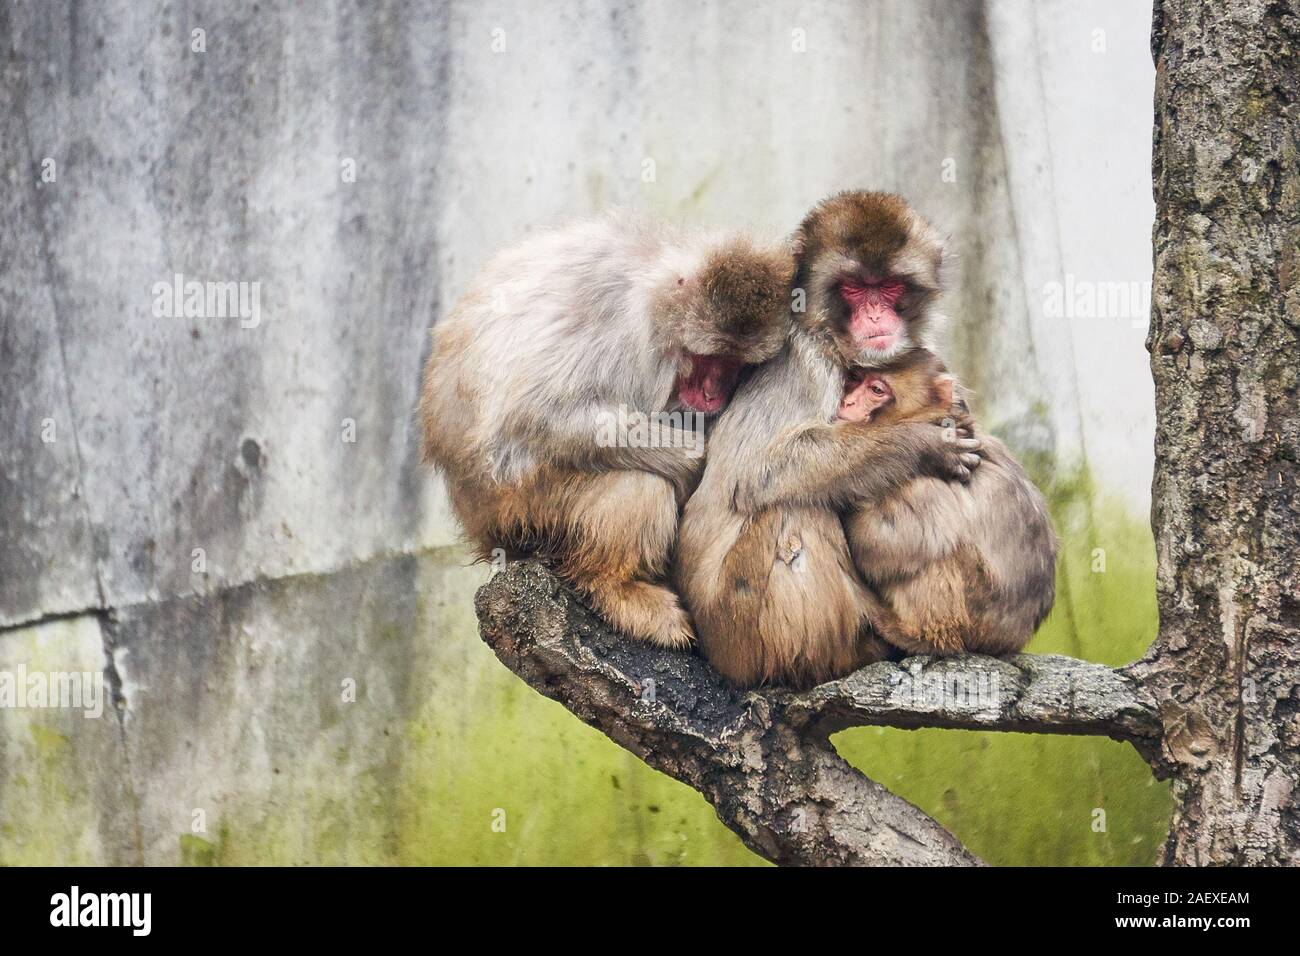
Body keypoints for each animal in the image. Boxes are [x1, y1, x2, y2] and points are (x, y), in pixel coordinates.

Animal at [419, 212, 792, 650]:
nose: (713, 394)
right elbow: (534, 414)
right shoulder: (613, 324)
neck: (653, 301)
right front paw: (691, 459)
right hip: (523, 510)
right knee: (640, 483)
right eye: (708, 358)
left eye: (735, 364)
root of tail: (478, 524)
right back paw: (615, 587)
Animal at [676, 191, 982, 689]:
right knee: (792, 506)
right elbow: (755, 471)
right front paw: (922, 444)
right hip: (742, 627)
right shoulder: (806, 363)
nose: (875, 315)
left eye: (889, 286)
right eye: (855, 288)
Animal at [835, 348, 1058, 656]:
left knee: (940, 554)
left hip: (972, 608)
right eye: (856, 378)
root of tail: (1007, 640)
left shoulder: (917, 478)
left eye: (877, 389)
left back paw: (920, 637)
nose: (848, 401)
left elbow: (901, 545)